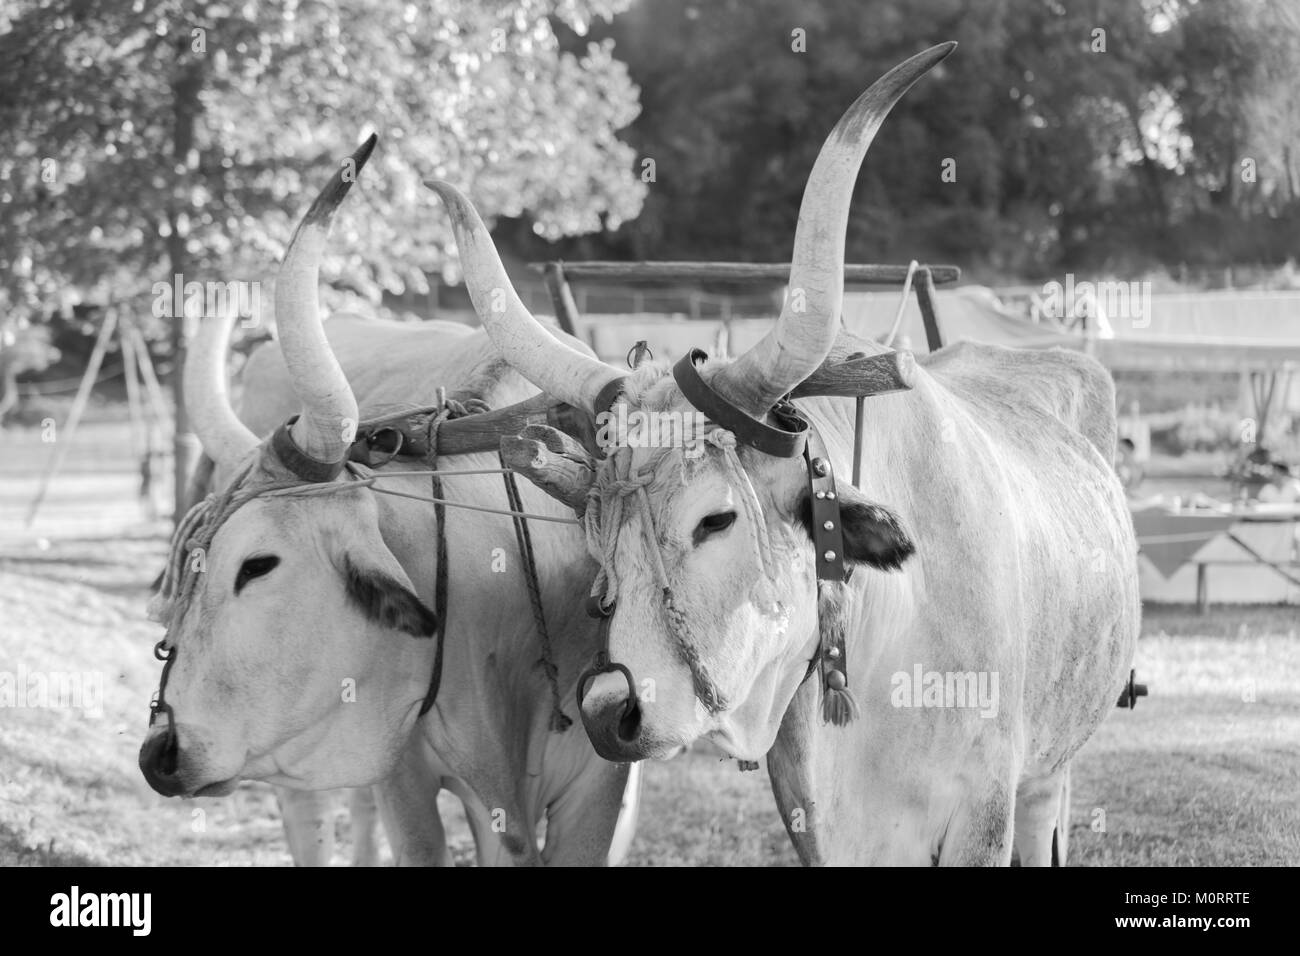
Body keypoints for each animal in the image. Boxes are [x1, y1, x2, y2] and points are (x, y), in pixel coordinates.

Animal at [425, 42, 1141, 866]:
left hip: (1049, 772)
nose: (610, 710)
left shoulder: (982, 808)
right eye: (597, 538)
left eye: (717, 519)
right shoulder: (818, 820)